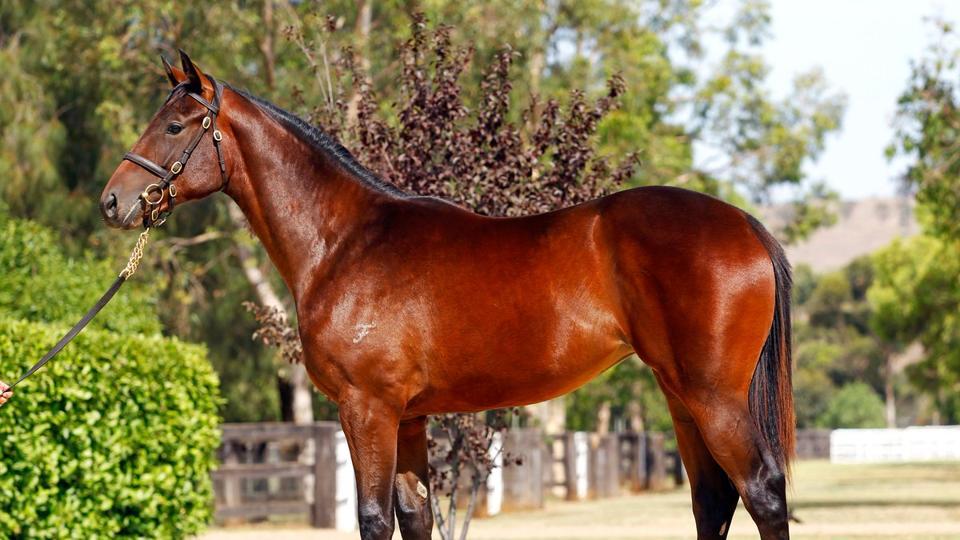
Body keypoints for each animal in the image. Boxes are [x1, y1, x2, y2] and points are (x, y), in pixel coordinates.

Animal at [100, 51, 794, 540]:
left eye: (175, 125)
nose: (113, 201)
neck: (345, 240)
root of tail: (744, 225)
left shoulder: (367, 409)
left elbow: (374, 519)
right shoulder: (407, 417)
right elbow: (415, 516)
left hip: (713, 397)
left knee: (762, 490)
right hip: (679, 395)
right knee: (713, 500)